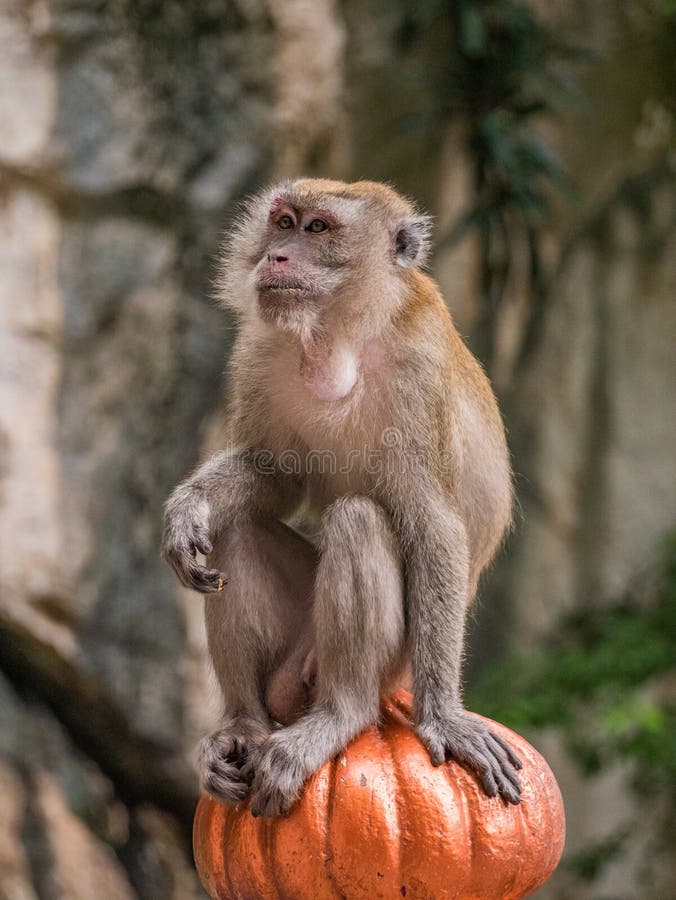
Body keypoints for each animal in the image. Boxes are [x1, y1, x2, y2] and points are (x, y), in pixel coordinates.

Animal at [161, 178, 522, 818]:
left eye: (318, 229)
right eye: (283, 222)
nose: (276, 256)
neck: (337, 335)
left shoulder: (418, 370)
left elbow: (433, 526)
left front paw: (444, 718)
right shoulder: (260, 351)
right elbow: (274, 476)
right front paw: (189, 508)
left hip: (393, 666)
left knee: (359, 520)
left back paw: (340, 715)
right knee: (240, 531)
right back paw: (243, 725)